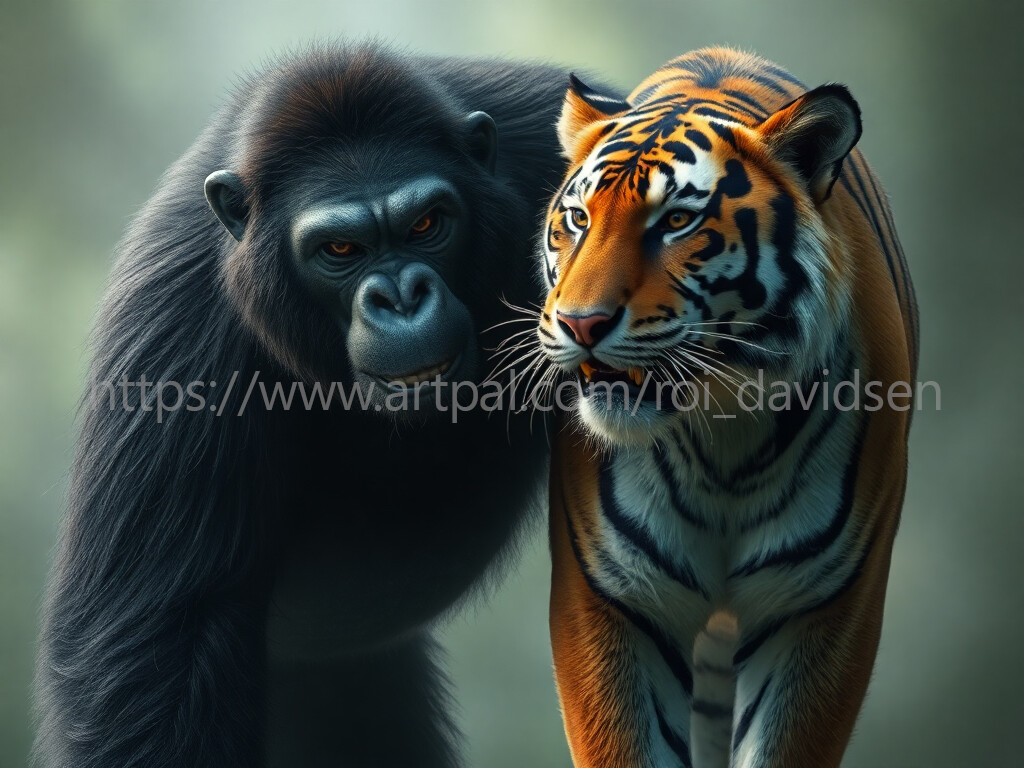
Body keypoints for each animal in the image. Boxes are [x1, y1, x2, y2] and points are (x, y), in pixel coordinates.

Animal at [531, 48, 918, 768]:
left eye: (675, 222)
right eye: (579, 220)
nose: (579, 323)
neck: (722, 430)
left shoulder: (823, 607)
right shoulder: (609, 597)